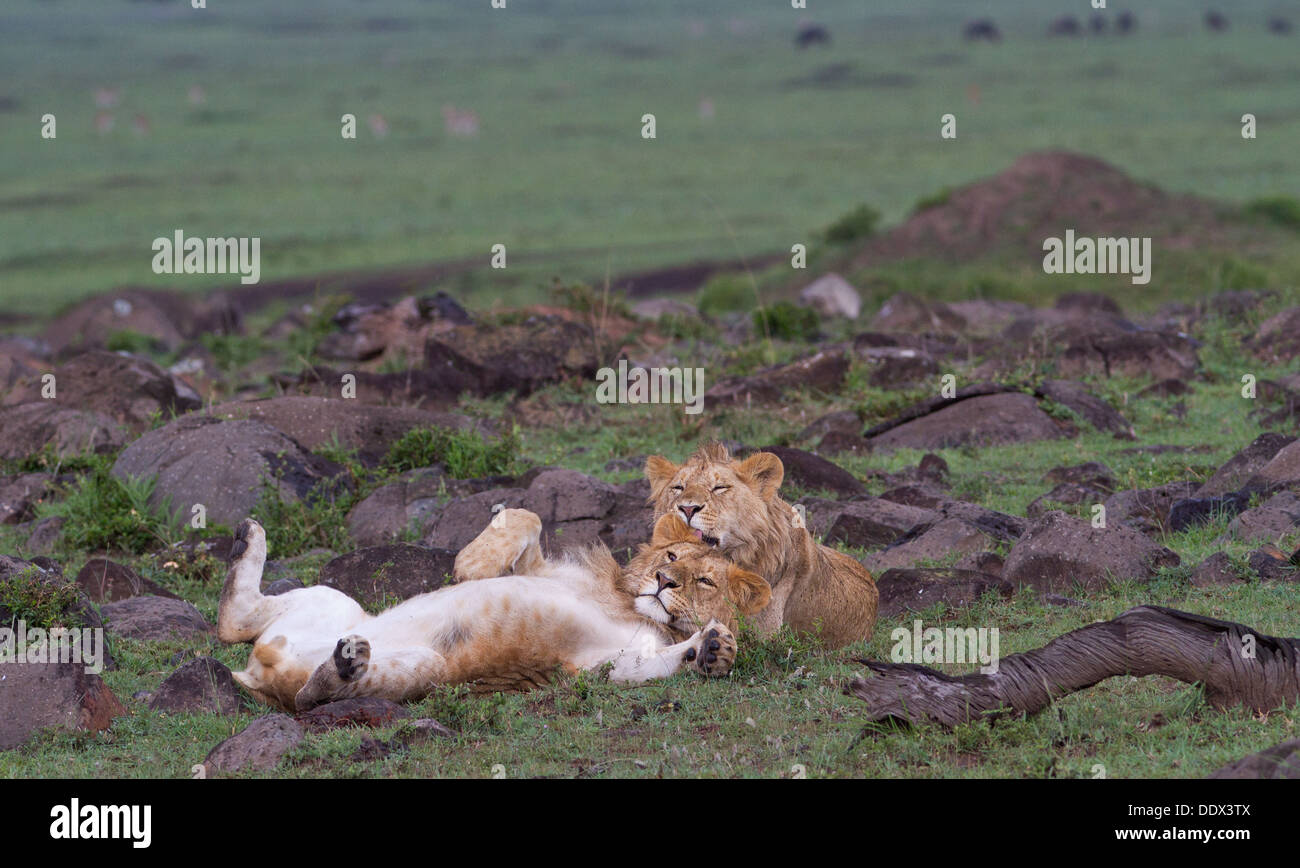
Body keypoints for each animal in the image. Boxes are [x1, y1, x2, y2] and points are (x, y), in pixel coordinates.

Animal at [217, 510, 770, 711]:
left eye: (704, 581)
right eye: (671, 557)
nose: (663, 582)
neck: (636, 611)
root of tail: (257, 674)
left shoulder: (597, 667)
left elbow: (644, 668)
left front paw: (713, 650)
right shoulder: (542, 571)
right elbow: (526, 519)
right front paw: (473, 558)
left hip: (425, 667)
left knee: (307, 693)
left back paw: (344, 664)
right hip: (337, 602)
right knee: (233, 623)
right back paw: (247, 538)